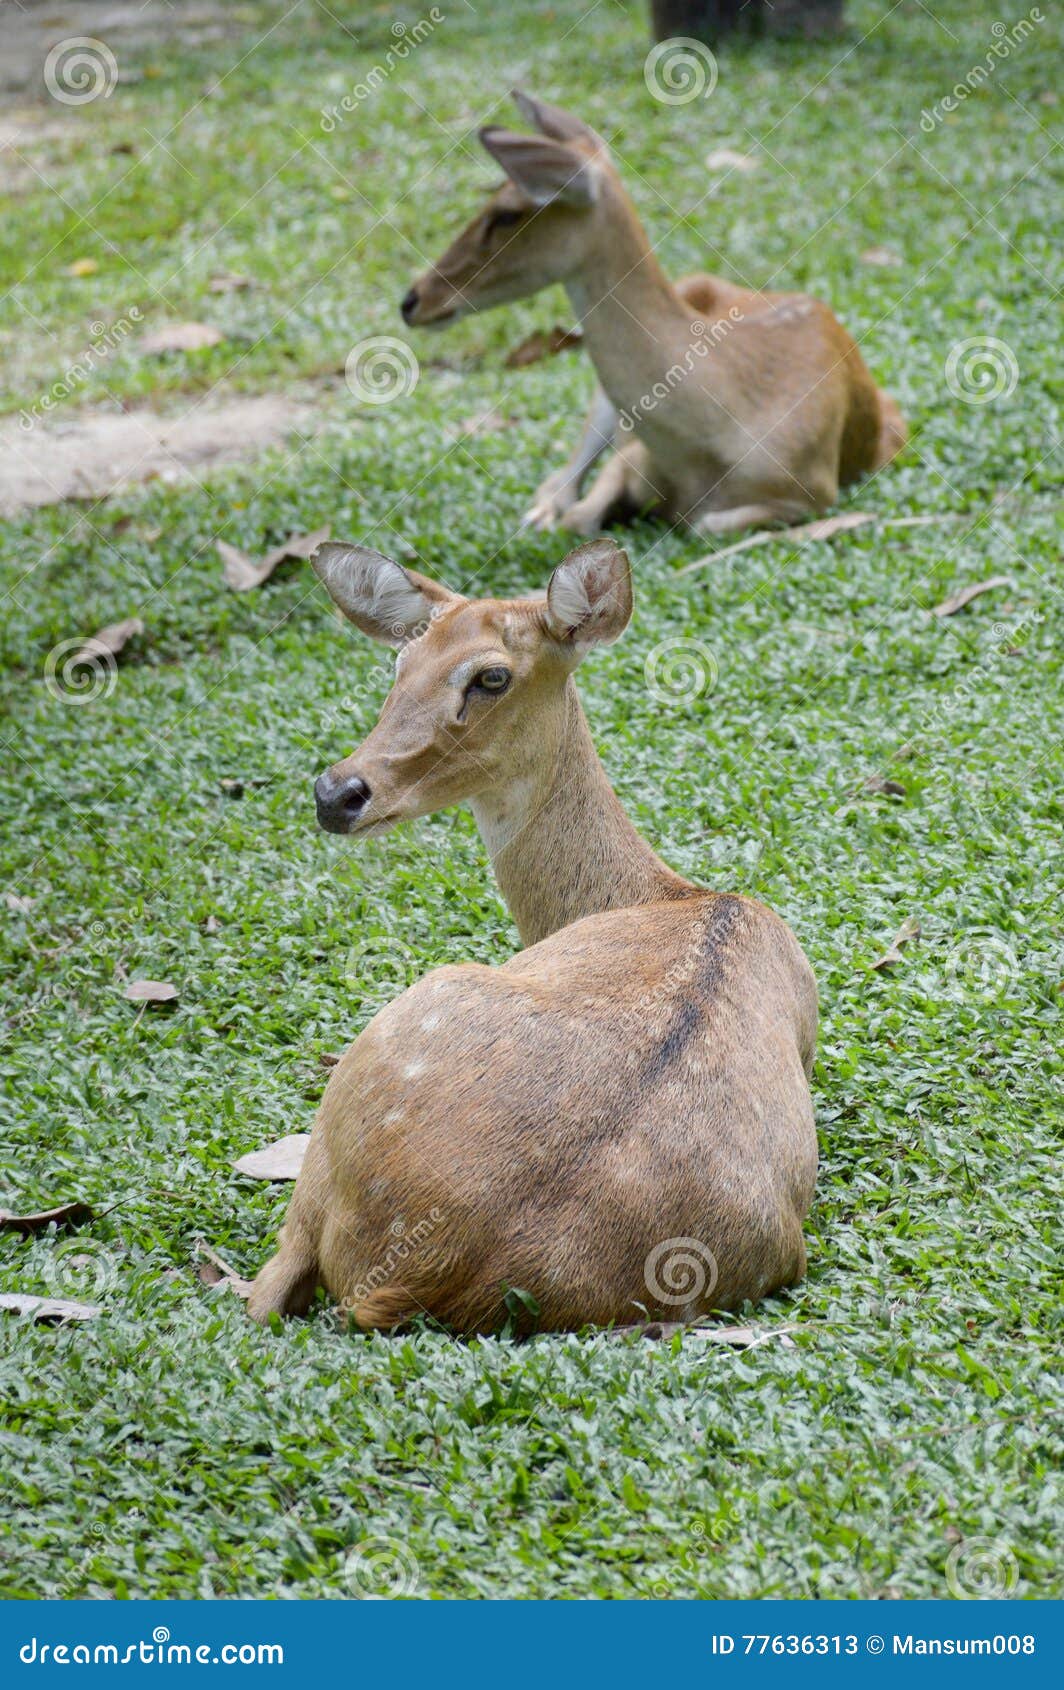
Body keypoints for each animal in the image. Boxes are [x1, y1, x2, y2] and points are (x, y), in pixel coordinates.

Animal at [246, 537, 819, 1334]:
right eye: (399, 663)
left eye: (491, 676)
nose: (338, 793)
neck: (670, 893)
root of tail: (407, 1277)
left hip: (366, 1081)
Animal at [399, 91, 906, 539]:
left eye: (506, 213)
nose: (412, 300)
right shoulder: (631, 455)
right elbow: (581, 515)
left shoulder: (815, 490)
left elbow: (702, 525)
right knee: (561, 479)